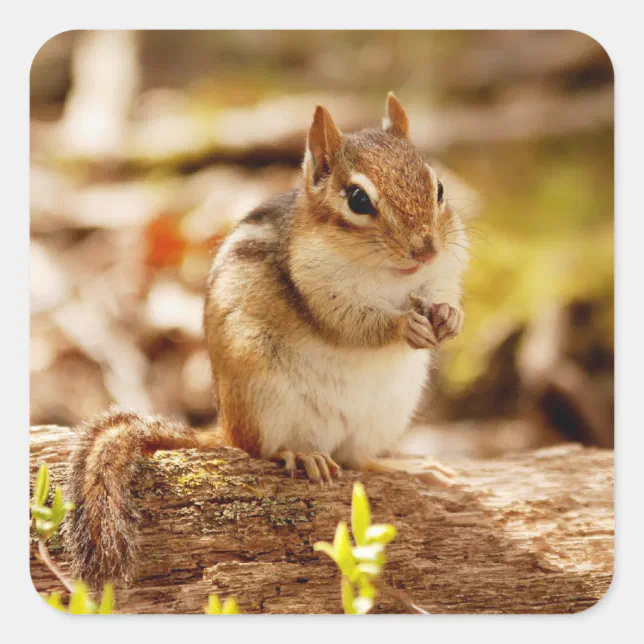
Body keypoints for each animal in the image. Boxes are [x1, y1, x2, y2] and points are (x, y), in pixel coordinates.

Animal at [63, 93, 469, 588]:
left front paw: (450, 319)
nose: (426, 249)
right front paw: (401, 327)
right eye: (358, 200)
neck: (394, 279)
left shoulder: (442, 275)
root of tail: (227, 427)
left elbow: (445, 297)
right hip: (265, 393)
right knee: (264, 450)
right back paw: (303, 454)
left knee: (359, 461)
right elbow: (350, 324)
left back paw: (408, 466)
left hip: (386, 413)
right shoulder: (321, 290)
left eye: (439, 188)